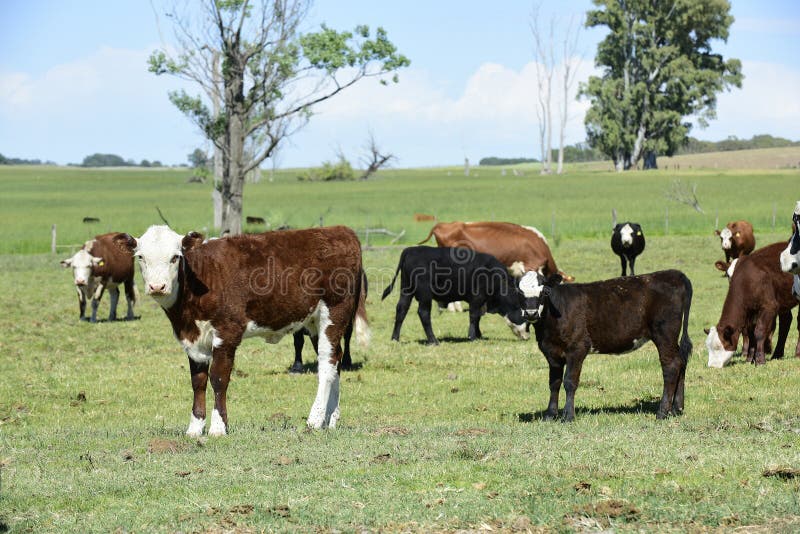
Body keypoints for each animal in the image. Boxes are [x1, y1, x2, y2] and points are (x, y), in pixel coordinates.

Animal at [125, 225, 368, 436]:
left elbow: (218, 378)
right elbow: (198, 382)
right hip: (315, 321)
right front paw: (194, 429)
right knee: (335, 360)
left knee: (327, 364)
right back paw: (331, 419)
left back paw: (315, 420)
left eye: (175, 257)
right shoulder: (192, 340)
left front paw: (218, 428)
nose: (157, 287)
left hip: (334, 312)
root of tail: (341, 230)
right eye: (141, 257)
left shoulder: (227, 332)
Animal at [381, 246, 529, 345]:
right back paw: (433, 340)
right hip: (425, 295)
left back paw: (395, 338)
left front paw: (479, 335)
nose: (527, 336)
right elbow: (473, 316)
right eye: (525, 316)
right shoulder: (477, 298)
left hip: (406, 291)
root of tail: (410, 250)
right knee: (423, 313)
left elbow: (477, 318)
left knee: (401, 310)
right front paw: (472, 336)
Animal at [518, 269, 692, 421]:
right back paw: (677, 409)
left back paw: (662, 412)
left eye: (544, 291)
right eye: (519, 292)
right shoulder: (551, 352)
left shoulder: (577, 348)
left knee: (671, 366)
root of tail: (674, 273)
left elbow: (569, 381)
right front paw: (550, 414)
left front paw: (568, 416)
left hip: (664, 333)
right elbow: (554, 383)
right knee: (681, 362)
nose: (531, 313)